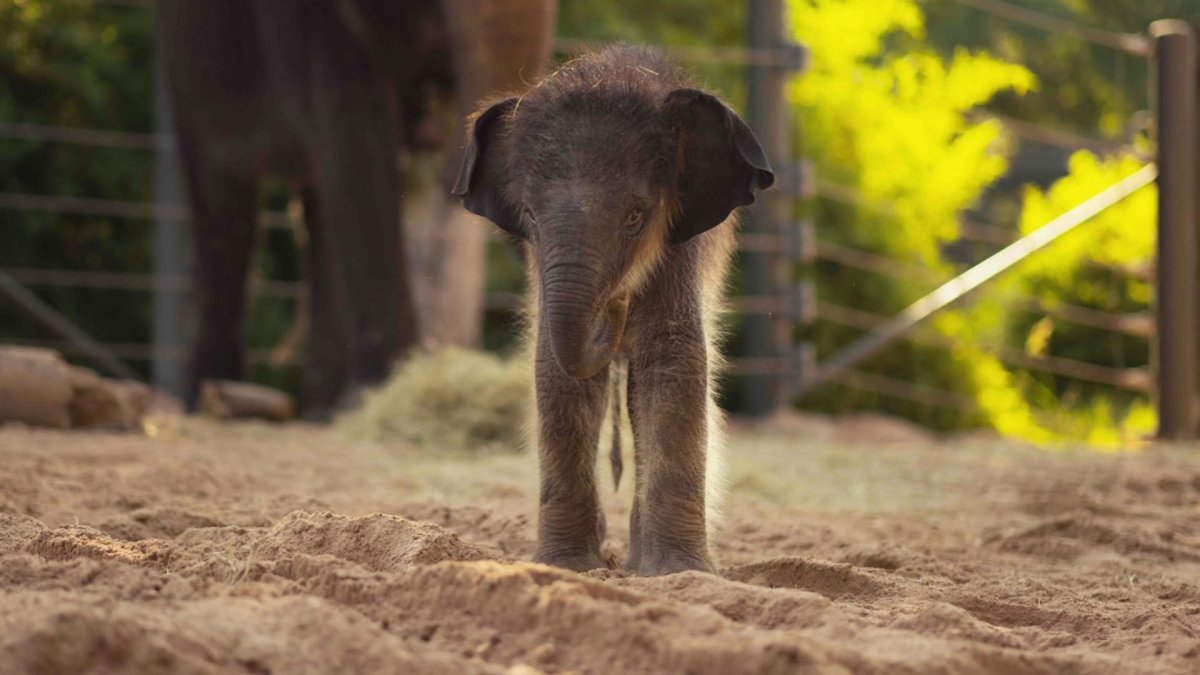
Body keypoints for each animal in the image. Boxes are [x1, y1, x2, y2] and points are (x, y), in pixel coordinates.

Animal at [453, 45, 774, 575]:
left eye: (635, 218)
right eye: (530, 215)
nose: (616, 308)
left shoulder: (679, 248)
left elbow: (672, 359)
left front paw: (678, 571)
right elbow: (558, 371)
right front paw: (567, 567)